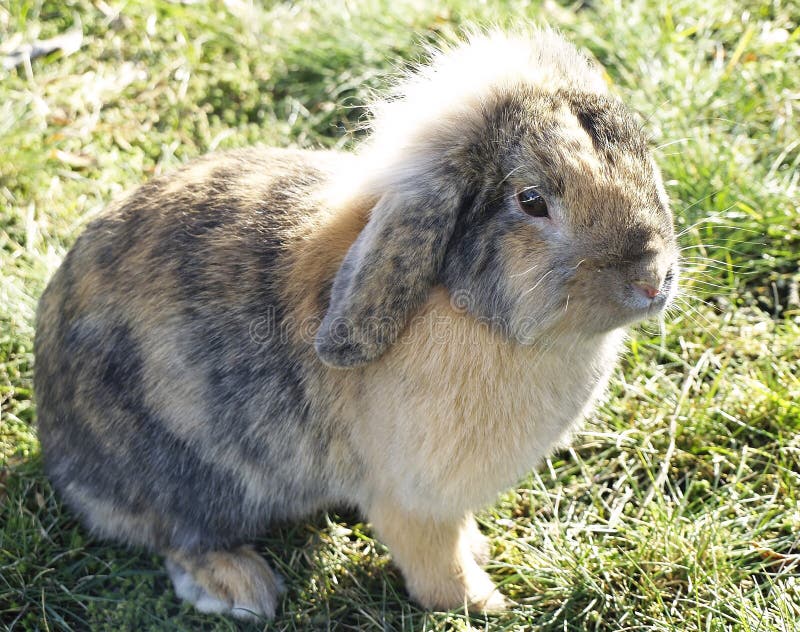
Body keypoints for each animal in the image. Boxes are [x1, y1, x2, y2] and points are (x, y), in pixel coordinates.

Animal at [34, 28, 679, 619]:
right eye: (531, 201)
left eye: (643, 154)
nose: (652, 279)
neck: (470, 314)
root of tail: (60, 450)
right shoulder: (410, 500)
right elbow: (434, 558)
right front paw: (481, 602)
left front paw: (479, 551)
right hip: (184, 476)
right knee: (177, 536)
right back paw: (242, 587)